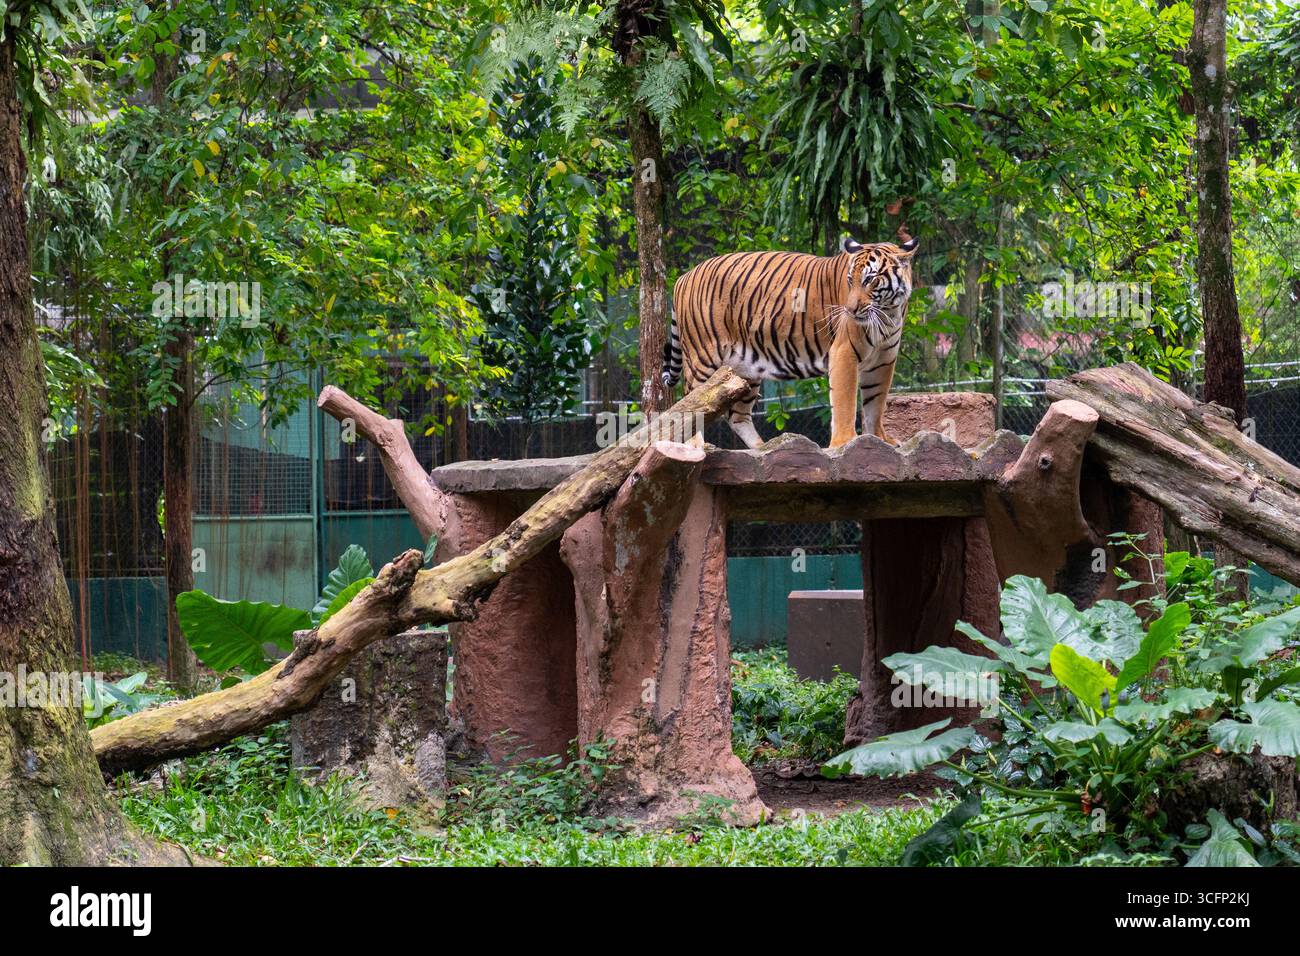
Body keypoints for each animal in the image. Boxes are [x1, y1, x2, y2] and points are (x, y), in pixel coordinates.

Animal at [661, 235, 918, 449]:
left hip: (743, 370)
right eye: (849, 281)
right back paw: (696, 445)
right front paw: (845, 442)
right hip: (703, 358)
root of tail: (683, 277)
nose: (850, 309)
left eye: (870, 280)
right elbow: (845, 401)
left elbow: (876, 403)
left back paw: (764, 448)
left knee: (738, 416)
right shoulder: (845, 351)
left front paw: (880, 440)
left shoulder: (883, 360)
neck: (889, 312)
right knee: (693, 402)